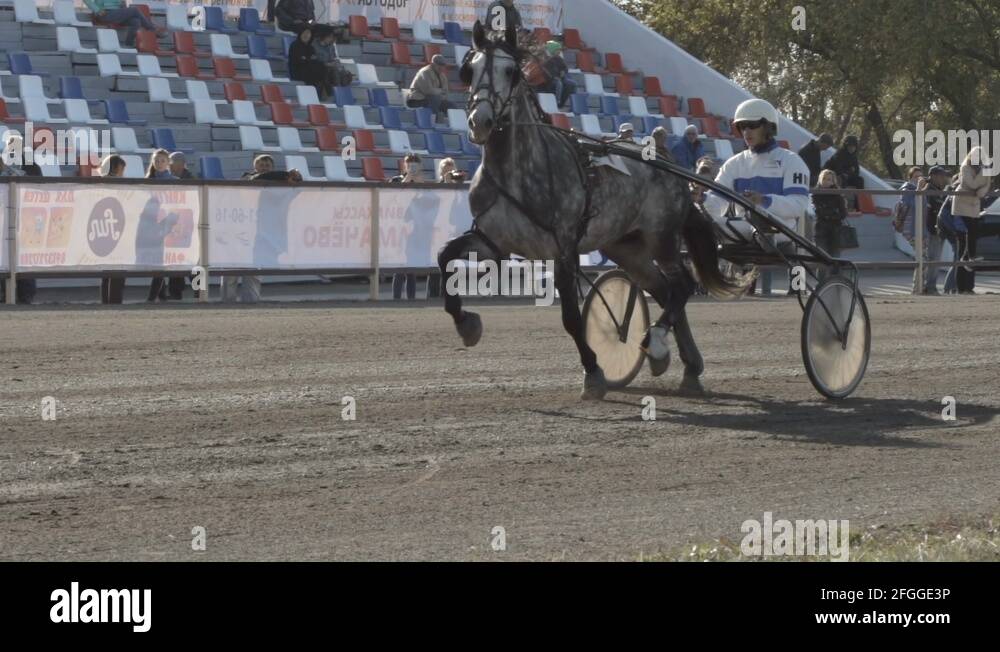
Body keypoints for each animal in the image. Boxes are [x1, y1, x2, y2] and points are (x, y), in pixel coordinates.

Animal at [438, 22, 752, 399]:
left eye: (510, 70)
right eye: (468, 70)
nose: (480, 122)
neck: (516, 170)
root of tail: (666, 161)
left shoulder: (564, 247)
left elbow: (572, 317)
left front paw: (594, 371)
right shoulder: (492, 241)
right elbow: (445, 258)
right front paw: (466, 323)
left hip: (661, 237)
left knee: (682, 287)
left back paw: (658, 344)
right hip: (625, 246)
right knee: (665, 291)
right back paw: (682, 364)